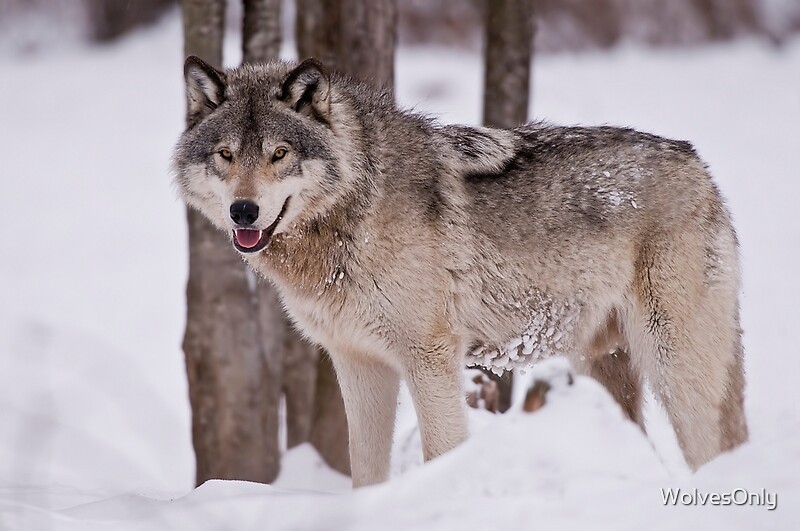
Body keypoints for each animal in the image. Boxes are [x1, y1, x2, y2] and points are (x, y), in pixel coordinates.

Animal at [173, 56, 748, 487]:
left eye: (279, 153)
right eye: (226, 155)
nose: (243, 212)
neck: (354, 210)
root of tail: (698, 164)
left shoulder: (430, 361)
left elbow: (441, 454)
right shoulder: (358, 363)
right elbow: (365, 472)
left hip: (676, 371)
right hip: (600, 369)